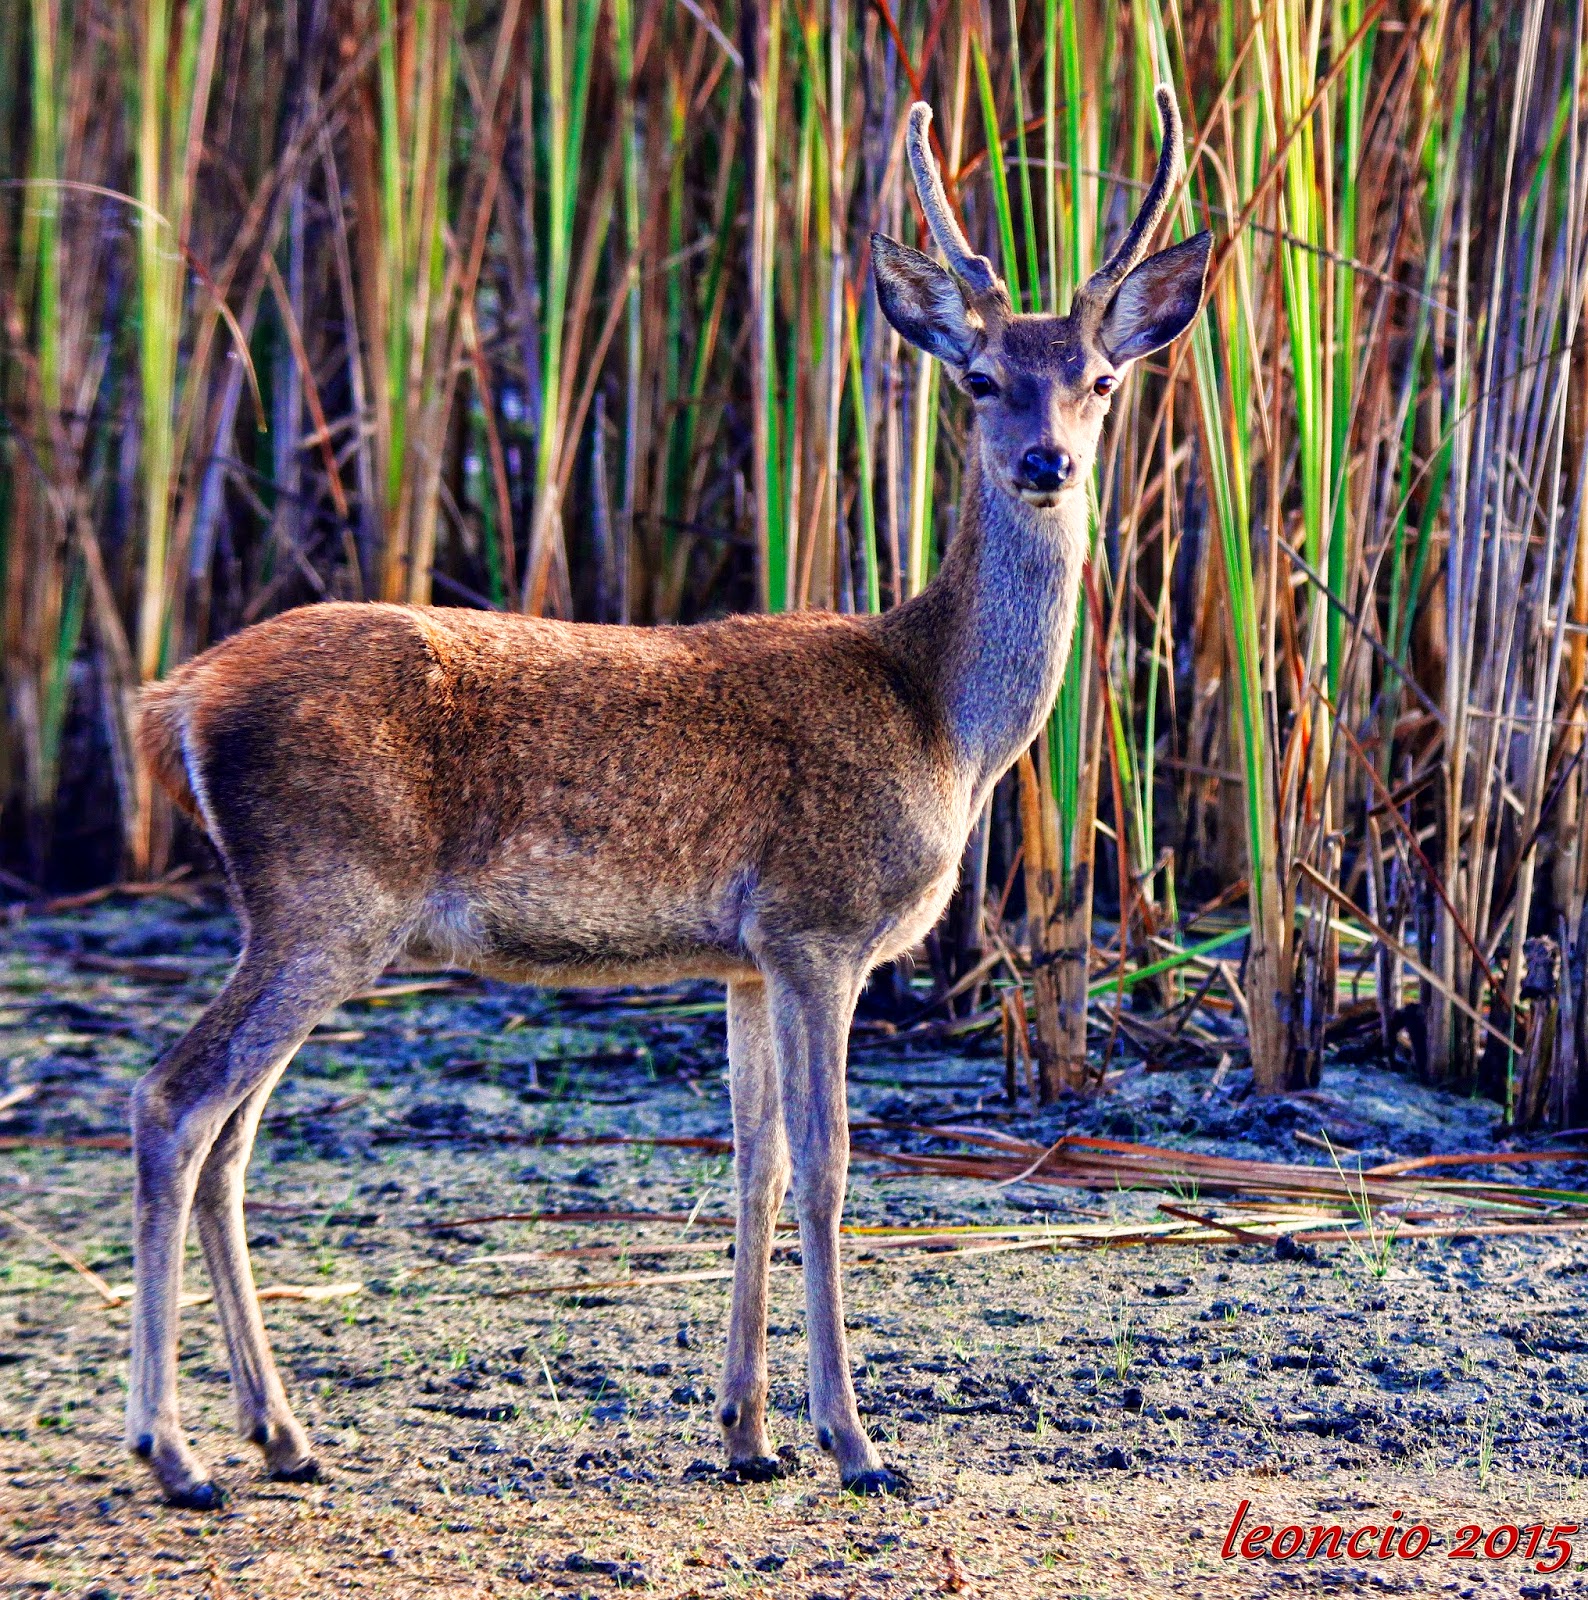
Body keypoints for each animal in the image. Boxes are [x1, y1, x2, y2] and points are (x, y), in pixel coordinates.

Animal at [125, 86, 1210, 1508]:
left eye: (1099, 379)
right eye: (978, 379)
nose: (1044, 462)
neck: (941, 720)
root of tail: (179, 698)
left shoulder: (742, 956)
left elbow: (752, 1170)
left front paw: (746, 1432)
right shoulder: (819, 923)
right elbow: (828, 1169)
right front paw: (856, 1443)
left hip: (305, 915)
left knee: (231, 1139)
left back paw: (284, 1436)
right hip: (327, 897)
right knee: (174, 1105)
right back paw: (175, 1449)